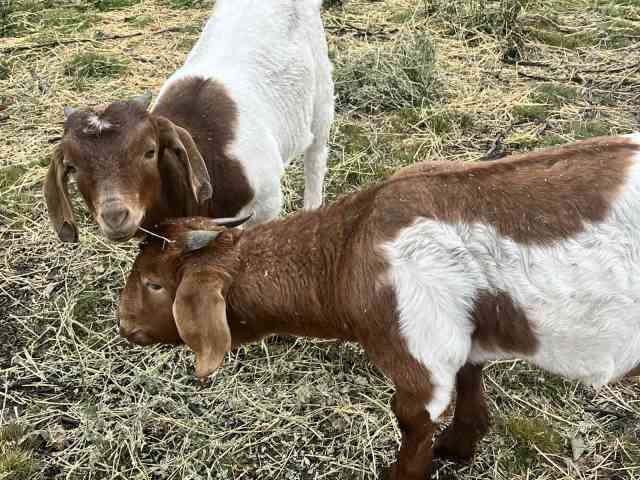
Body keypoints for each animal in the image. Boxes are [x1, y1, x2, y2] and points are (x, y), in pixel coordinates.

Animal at [45, 0, 333, 243]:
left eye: (150, 151)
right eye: (72, 167)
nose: (115, 217)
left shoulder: (266, 204)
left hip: (321, 92)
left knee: (316, 154)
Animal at [118, 134, 640, 480]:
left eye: (153, 283)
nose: (124, 324)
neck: (347, 248)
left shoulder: (415, 358)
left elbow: (413, 423)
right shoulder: (456, 338)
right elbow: (471, 388)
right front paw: (457, 449)